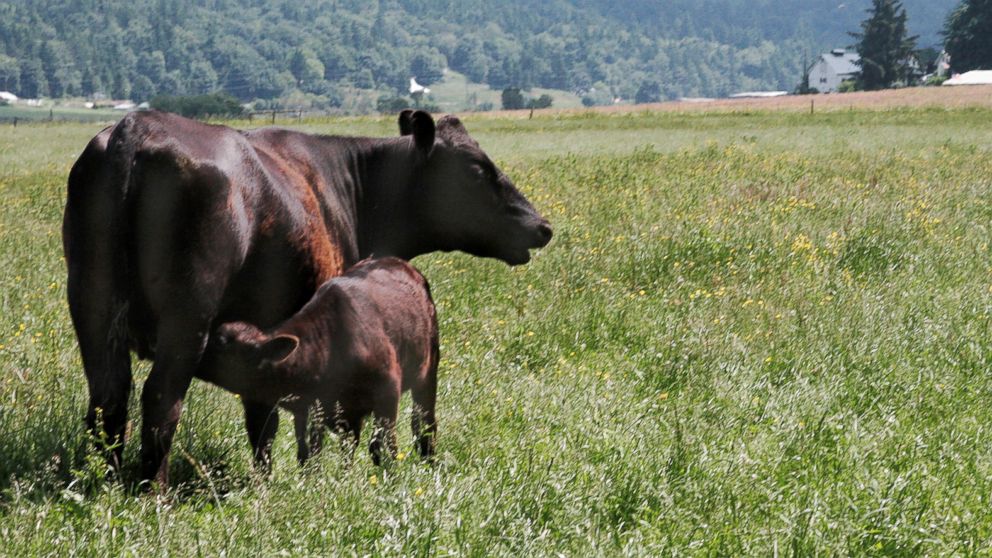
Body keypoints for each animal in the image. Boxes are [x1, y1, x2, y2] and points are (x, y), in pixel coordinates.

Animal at [199, 257, 439, 466]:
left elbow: (385, 446)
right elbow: (309, 454)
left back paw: (429, 459)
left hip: (428, 372)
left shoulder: (388, 391)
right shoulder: (310, 410)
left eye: (220, 343)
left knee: (425, 422)